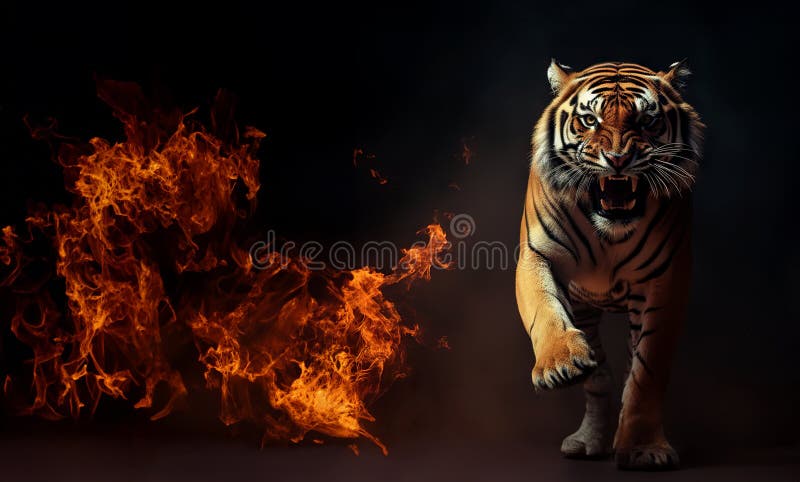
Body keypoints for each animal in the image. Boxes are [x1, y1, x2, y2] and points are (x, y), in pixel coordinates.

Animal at [516, 60, 704, 470]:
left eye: (647, 120)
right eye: (589, 120)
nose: (617, 159)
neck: (609, 232)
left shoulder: (666, 280)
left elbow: (646, 374)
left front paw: (644, 448)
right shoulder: (536, 255)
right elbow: (544, 310)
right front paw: (558, 364)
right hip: (585, 310)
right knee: (599, 379)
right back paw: (588, 440)